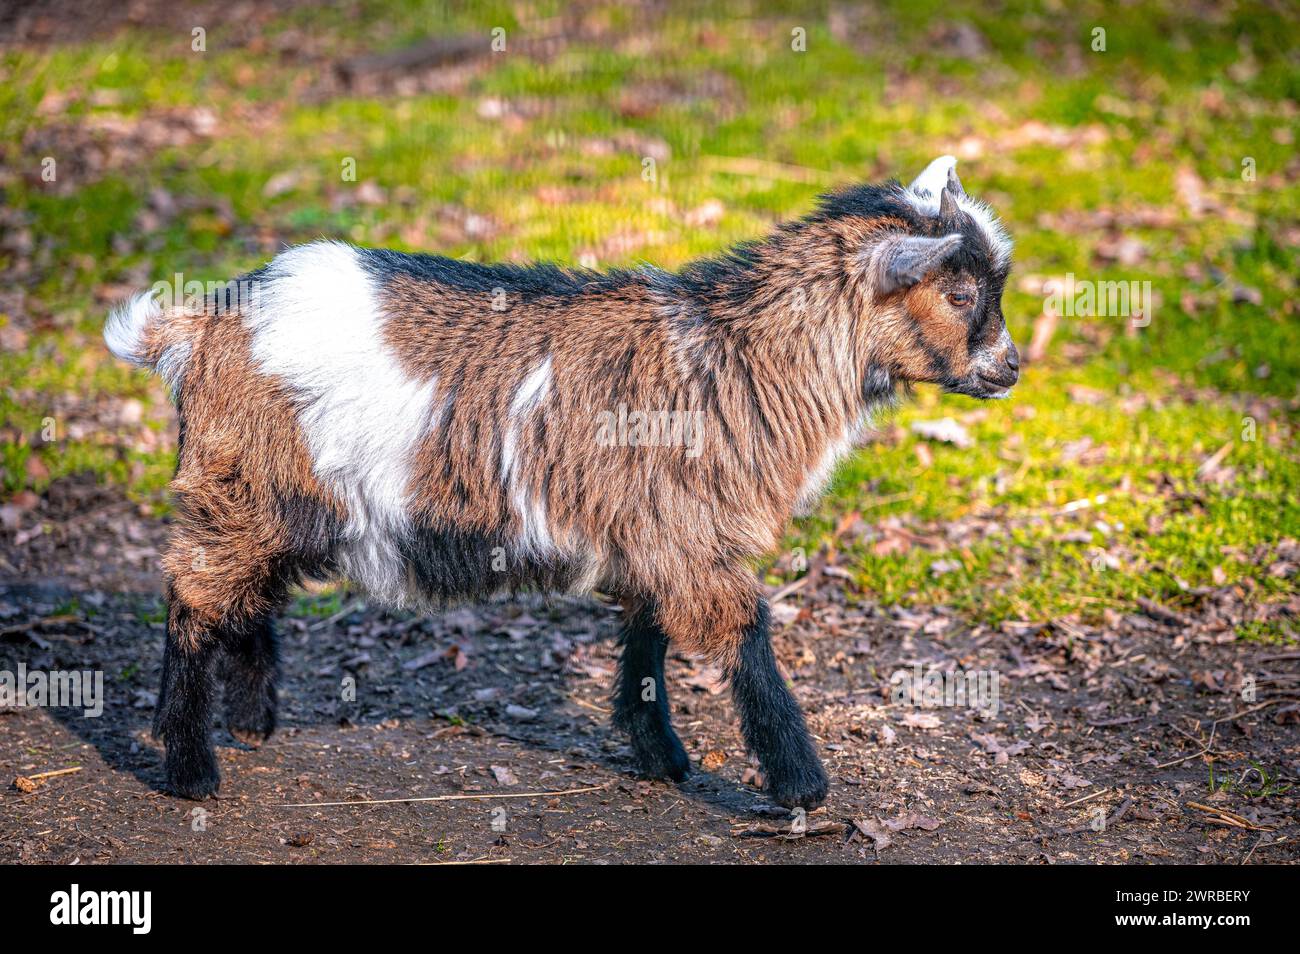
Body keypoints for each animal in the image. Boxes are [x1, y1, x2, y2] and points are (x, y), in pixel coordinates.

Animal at [104, 156, 1017, 808]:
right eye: (960, 292)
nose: (1011, 368)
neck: (738, 359)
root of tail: (198, 324)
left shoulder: (652, 532)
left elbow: (647, 638)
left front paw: (662, 758)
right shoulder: (691, 535)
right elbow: (743, 632)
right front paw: (801, 785)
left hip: (277, 495)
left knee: (244, 593)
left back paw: (253, 720)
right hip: (241, 481)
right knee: (194, 593)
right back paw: (190, 767)